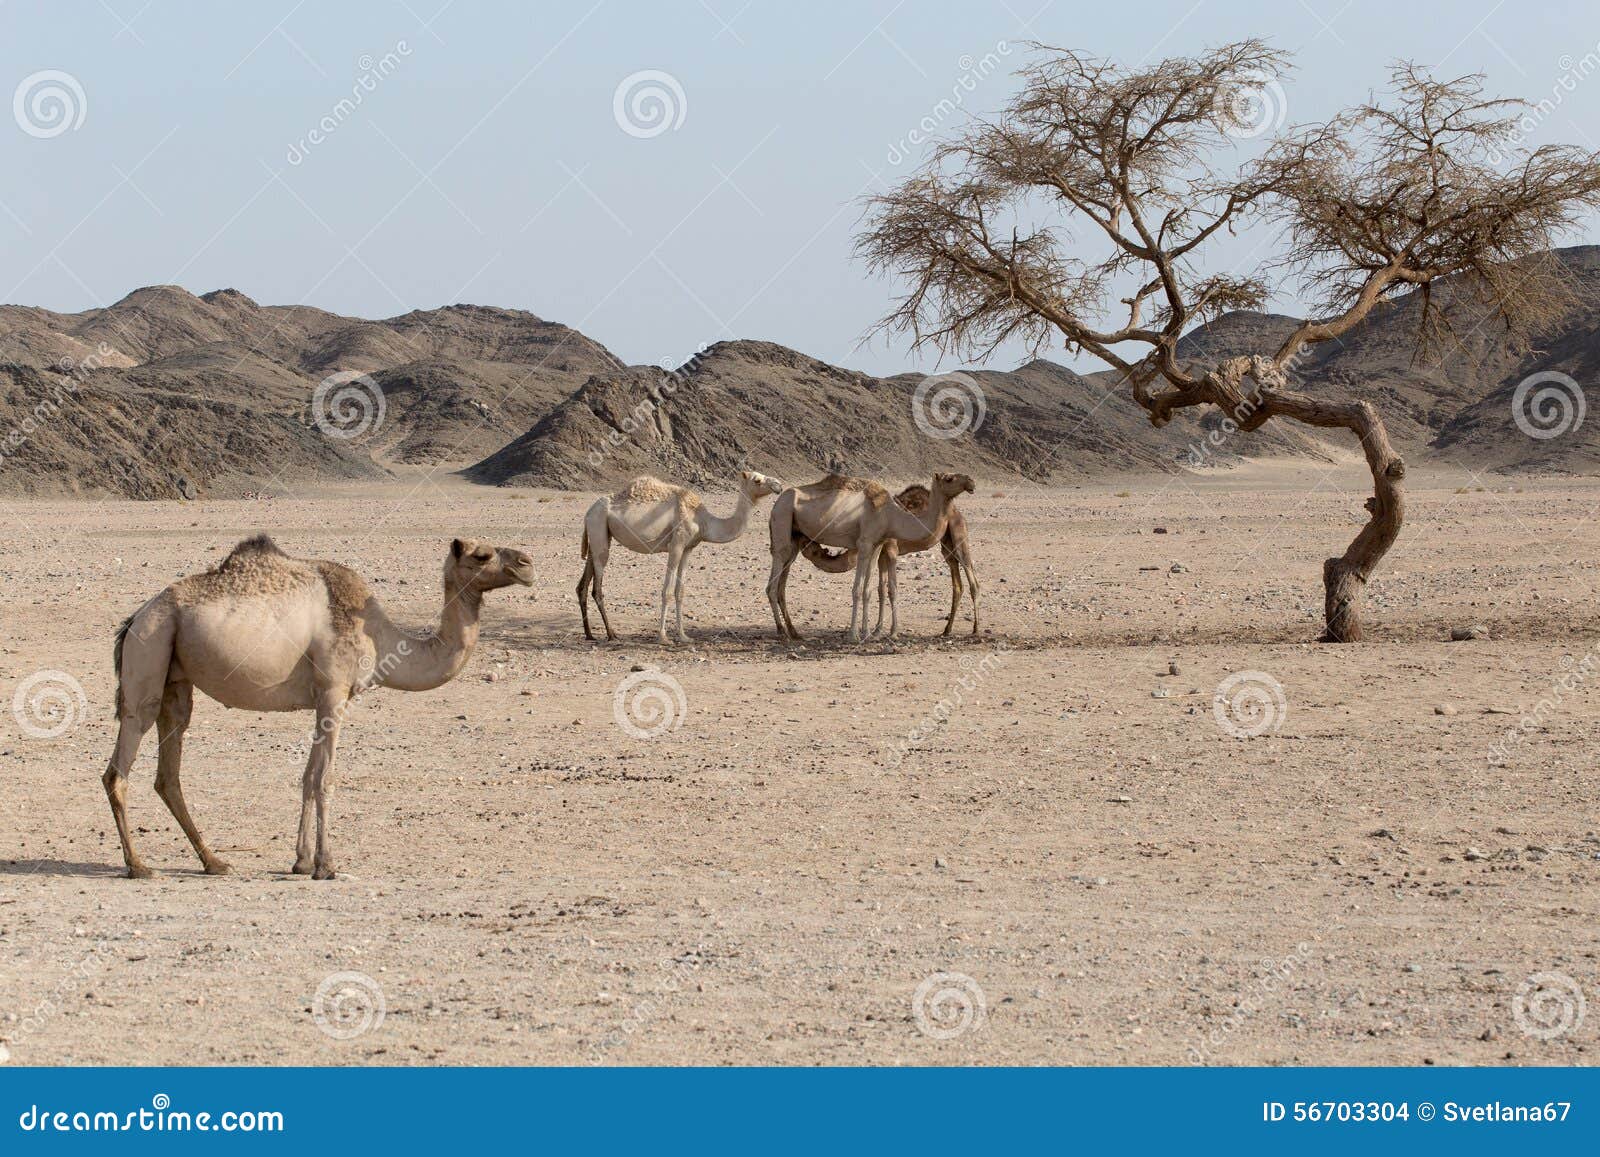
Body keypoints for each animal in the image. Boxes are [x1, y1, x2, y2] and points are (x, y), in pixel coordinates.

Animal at [103, 534, 533, 880]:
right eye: (482, 555)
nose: (527, 563)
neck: (380, 638)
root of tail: (134, 618)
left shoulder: (322, 701)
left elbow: (308, 776)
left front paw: (301, 861)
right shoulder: (334, 692)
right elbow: (324, 777)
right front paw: (326, 865)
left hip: (175, 676)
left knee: (169, 771)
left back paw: (215, 862)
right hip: (151, 648)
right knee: (122, 760)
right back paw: (138, 866)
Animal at [578, 470, 784, 645]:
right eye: (757, 480)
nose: (779, 485)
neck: (702, 520)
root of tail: (588, 512)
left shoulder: (688, 548)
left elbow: (680, 591)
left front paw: (684, 636)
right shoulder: (676, 545)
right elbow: (667, 592)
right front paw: (663, 637)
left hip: (599, 536)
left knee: (583, 585)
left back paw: (589, 634)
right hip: (599, 528)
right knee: (597, 587)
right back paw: (611, 634)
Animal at [766, 472, 975, 642]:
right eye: (949, 478)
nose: (971, 482)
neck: (891, 515)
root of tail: (777, 501)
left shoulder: (877, 546)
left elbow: (869, 590)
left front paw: (867, 633)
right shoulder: (865, 544)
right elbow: (859, 589)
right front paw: (854, 635)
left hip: (793, 535)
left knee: (781, 583)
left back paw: (794, 632)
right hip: (783, 517)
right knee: (774, 579)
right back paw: (782, 632)